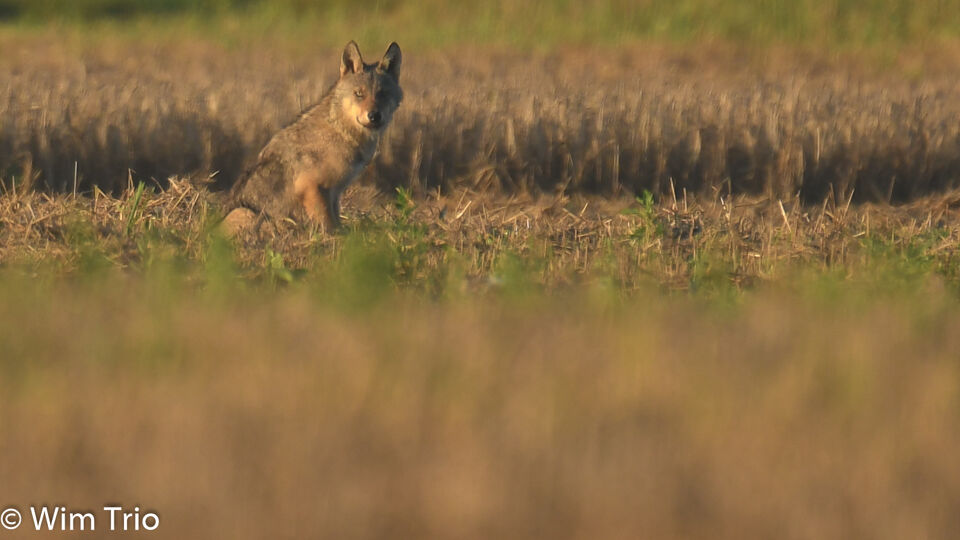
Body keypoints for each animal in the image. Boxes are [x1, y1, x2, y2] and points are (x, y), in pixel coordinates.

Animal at [223, 41, 403, 233]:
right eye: (359, 94)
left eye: (383, 94)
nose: (374, 116)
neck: (341, 132)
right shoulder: (313, 188)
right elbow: (328, 224)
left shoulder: (335, 192)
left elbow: (337, 221)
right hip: (248, 214)